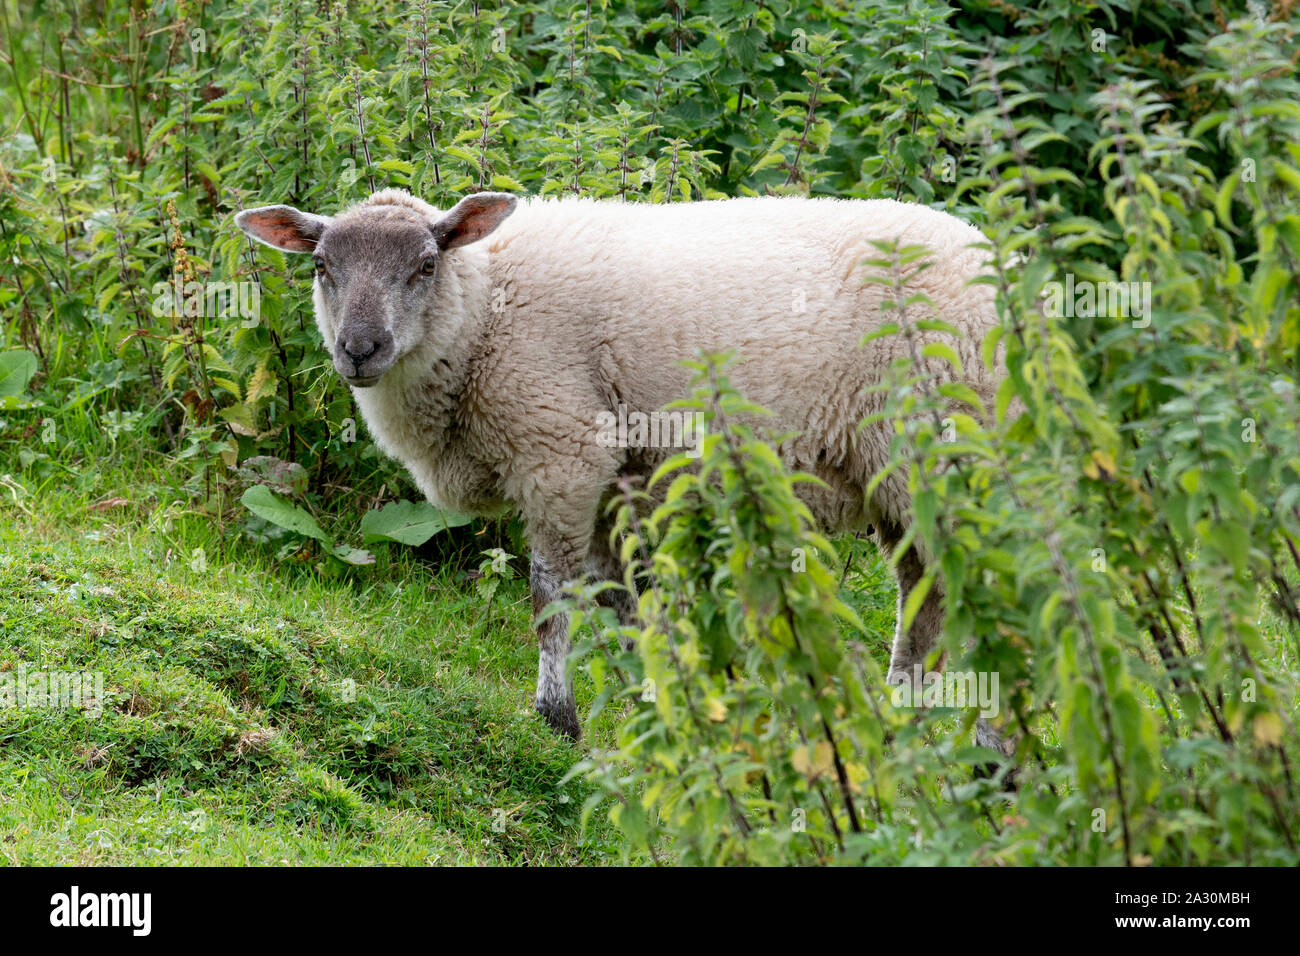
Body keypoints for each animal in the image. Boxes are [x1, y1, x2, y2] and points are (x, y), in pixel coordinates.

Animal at [235, 189, 1005, 741]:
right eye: (321, 267)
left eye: (425, 266)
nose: (359, 350)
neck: (483, 312)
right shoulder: (610, 480)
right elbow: (622, 601)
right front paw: (653, 701)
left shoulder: (562, 454)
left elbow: (550, 597)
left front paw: (558, 719)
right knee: (927, 588)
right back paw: (905, 713)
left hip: (942, 448)